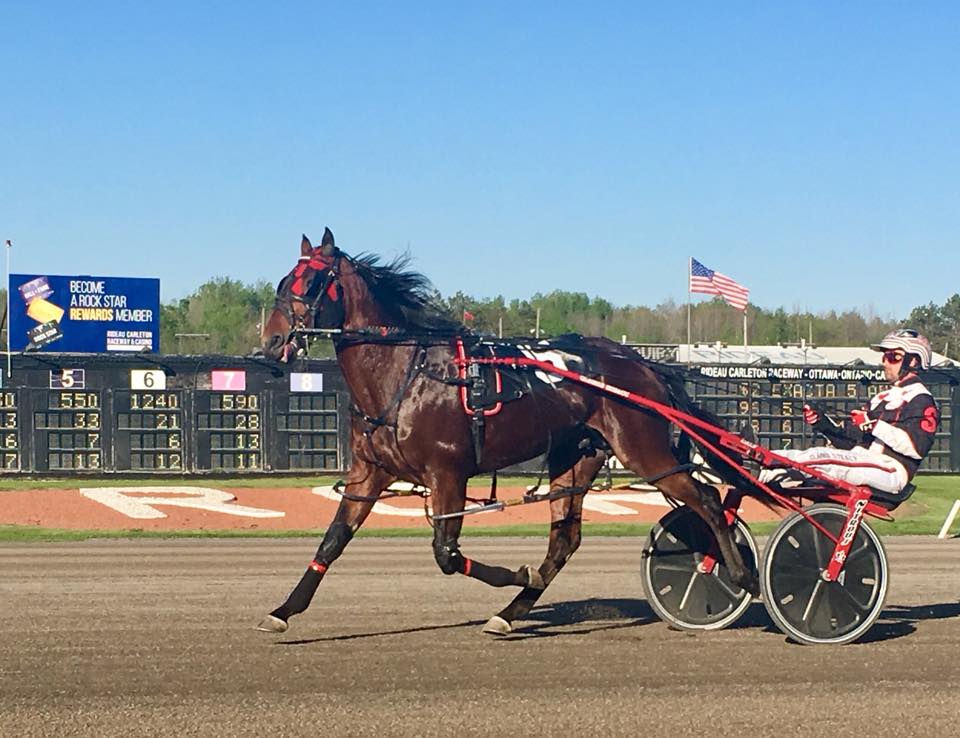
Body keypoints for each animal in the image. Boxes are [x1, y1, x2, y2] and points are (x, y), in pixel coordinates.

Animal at [256, 228, 757, 635]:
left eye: (310, 284)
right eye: (281, 284)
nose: (272, 342)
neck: (406, 372)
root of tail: (643, 364)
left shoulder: (448, 473)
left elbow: (447, 553)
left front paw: (518, 573)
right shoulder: (370, 471)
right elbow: (334, 540)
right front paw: (282, 611)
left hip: (644, 451)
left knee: (707, 500)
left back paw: (740, 575)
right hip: (577, 455)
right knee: (565, 539)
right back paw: (509, 613)